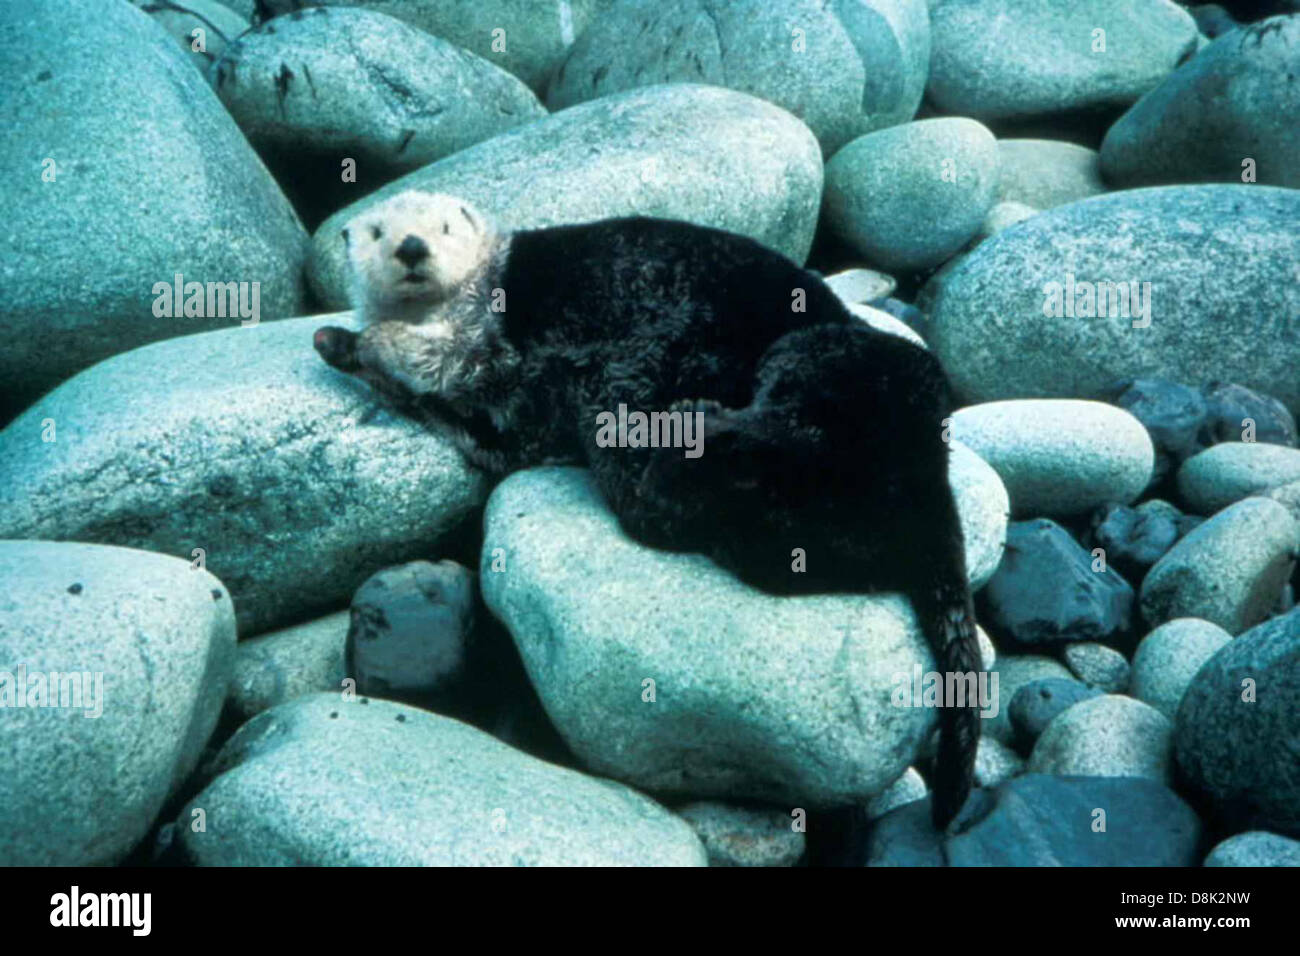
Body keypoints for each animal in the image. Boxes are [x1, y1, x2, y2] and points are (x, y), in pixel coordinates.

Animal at [314, 191, 981, 828]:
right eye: (377, 232)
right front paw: (337, 341)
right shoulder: (493, 417)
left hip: (828, 356)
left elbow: (445, 358)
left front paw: (365, 340)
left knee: (769, 428)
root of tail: (929, 490)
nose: (411, 247)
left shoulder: (483, 336)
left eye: (446, 228)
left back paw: (692, 418)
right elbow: (462, 411)